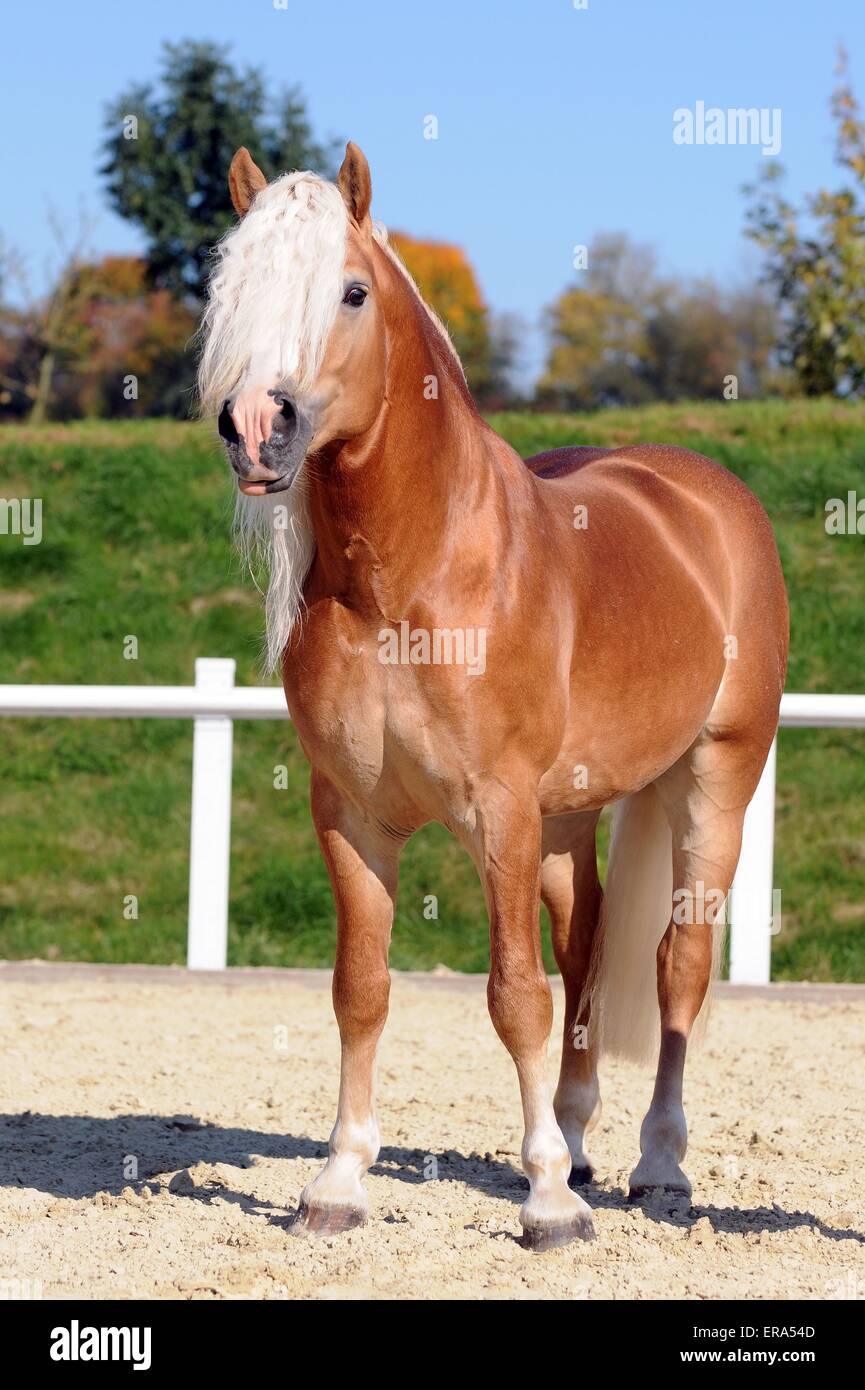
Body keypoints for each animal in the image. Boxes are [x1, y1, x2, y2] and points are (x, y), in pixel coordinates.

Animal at [198, 141, 789, 1251]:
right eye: (230, 290)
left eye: (350, 291)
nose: (258, 428)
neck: (410, 576)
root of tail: (700, 492)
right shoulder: (351, 816)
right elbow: (361, 990)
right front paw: (339, 1182)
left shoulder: (499, 811)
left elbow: (515, 994)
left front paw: (548, 1203)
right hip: (567, 818)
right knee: (588, 946)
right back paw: (583, 1138)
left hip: (713, 783)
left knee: (676, 963)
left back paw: (656, 1164)